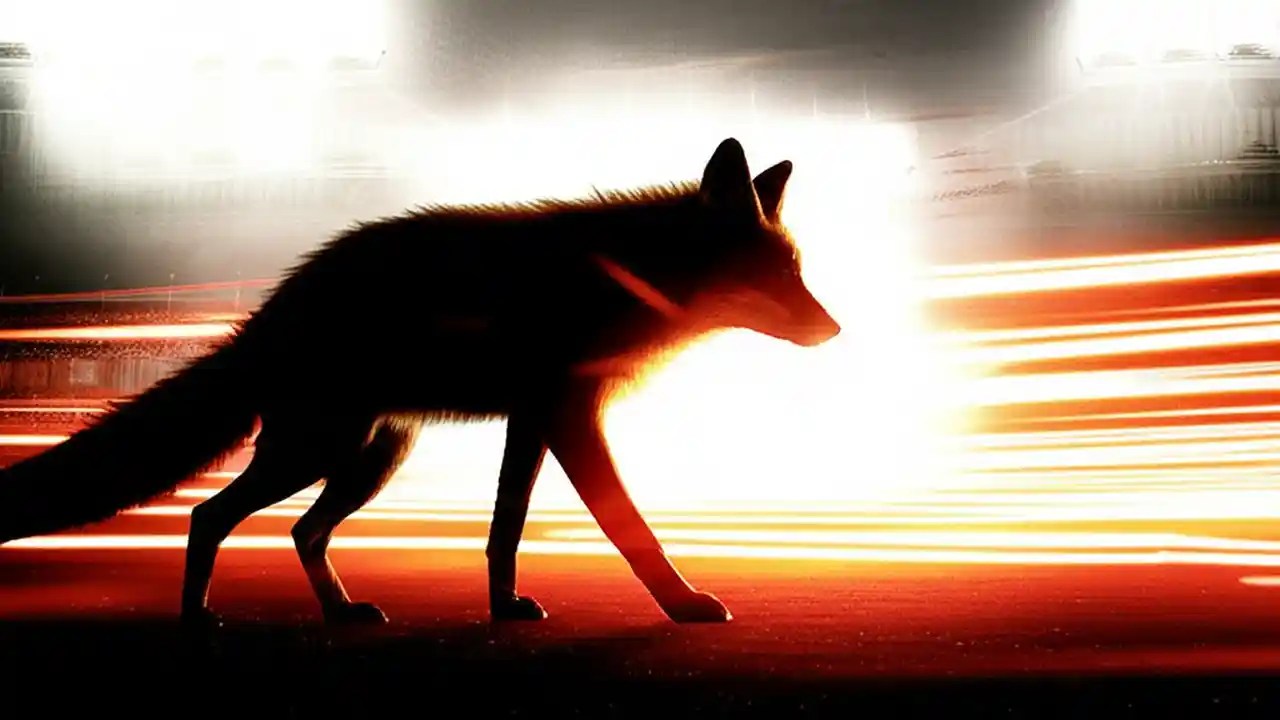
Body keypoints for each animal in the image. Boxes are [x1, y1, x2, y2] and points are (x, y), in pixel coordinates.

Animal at [0, 137, 840, 628]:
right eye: (781, 277)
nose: (833, 330)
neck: (623, 279)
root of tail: (271, 309)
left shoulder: (532, 421)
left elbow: (504, 532)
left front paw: (503, 607)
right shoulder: (569, 418)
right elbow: (628, 528)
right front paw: (682, 603)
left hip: (371, 460)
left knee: (301, 532)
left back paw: (340, 614)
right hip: (316, 452)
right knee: (210, 515)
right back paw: (196, 618)